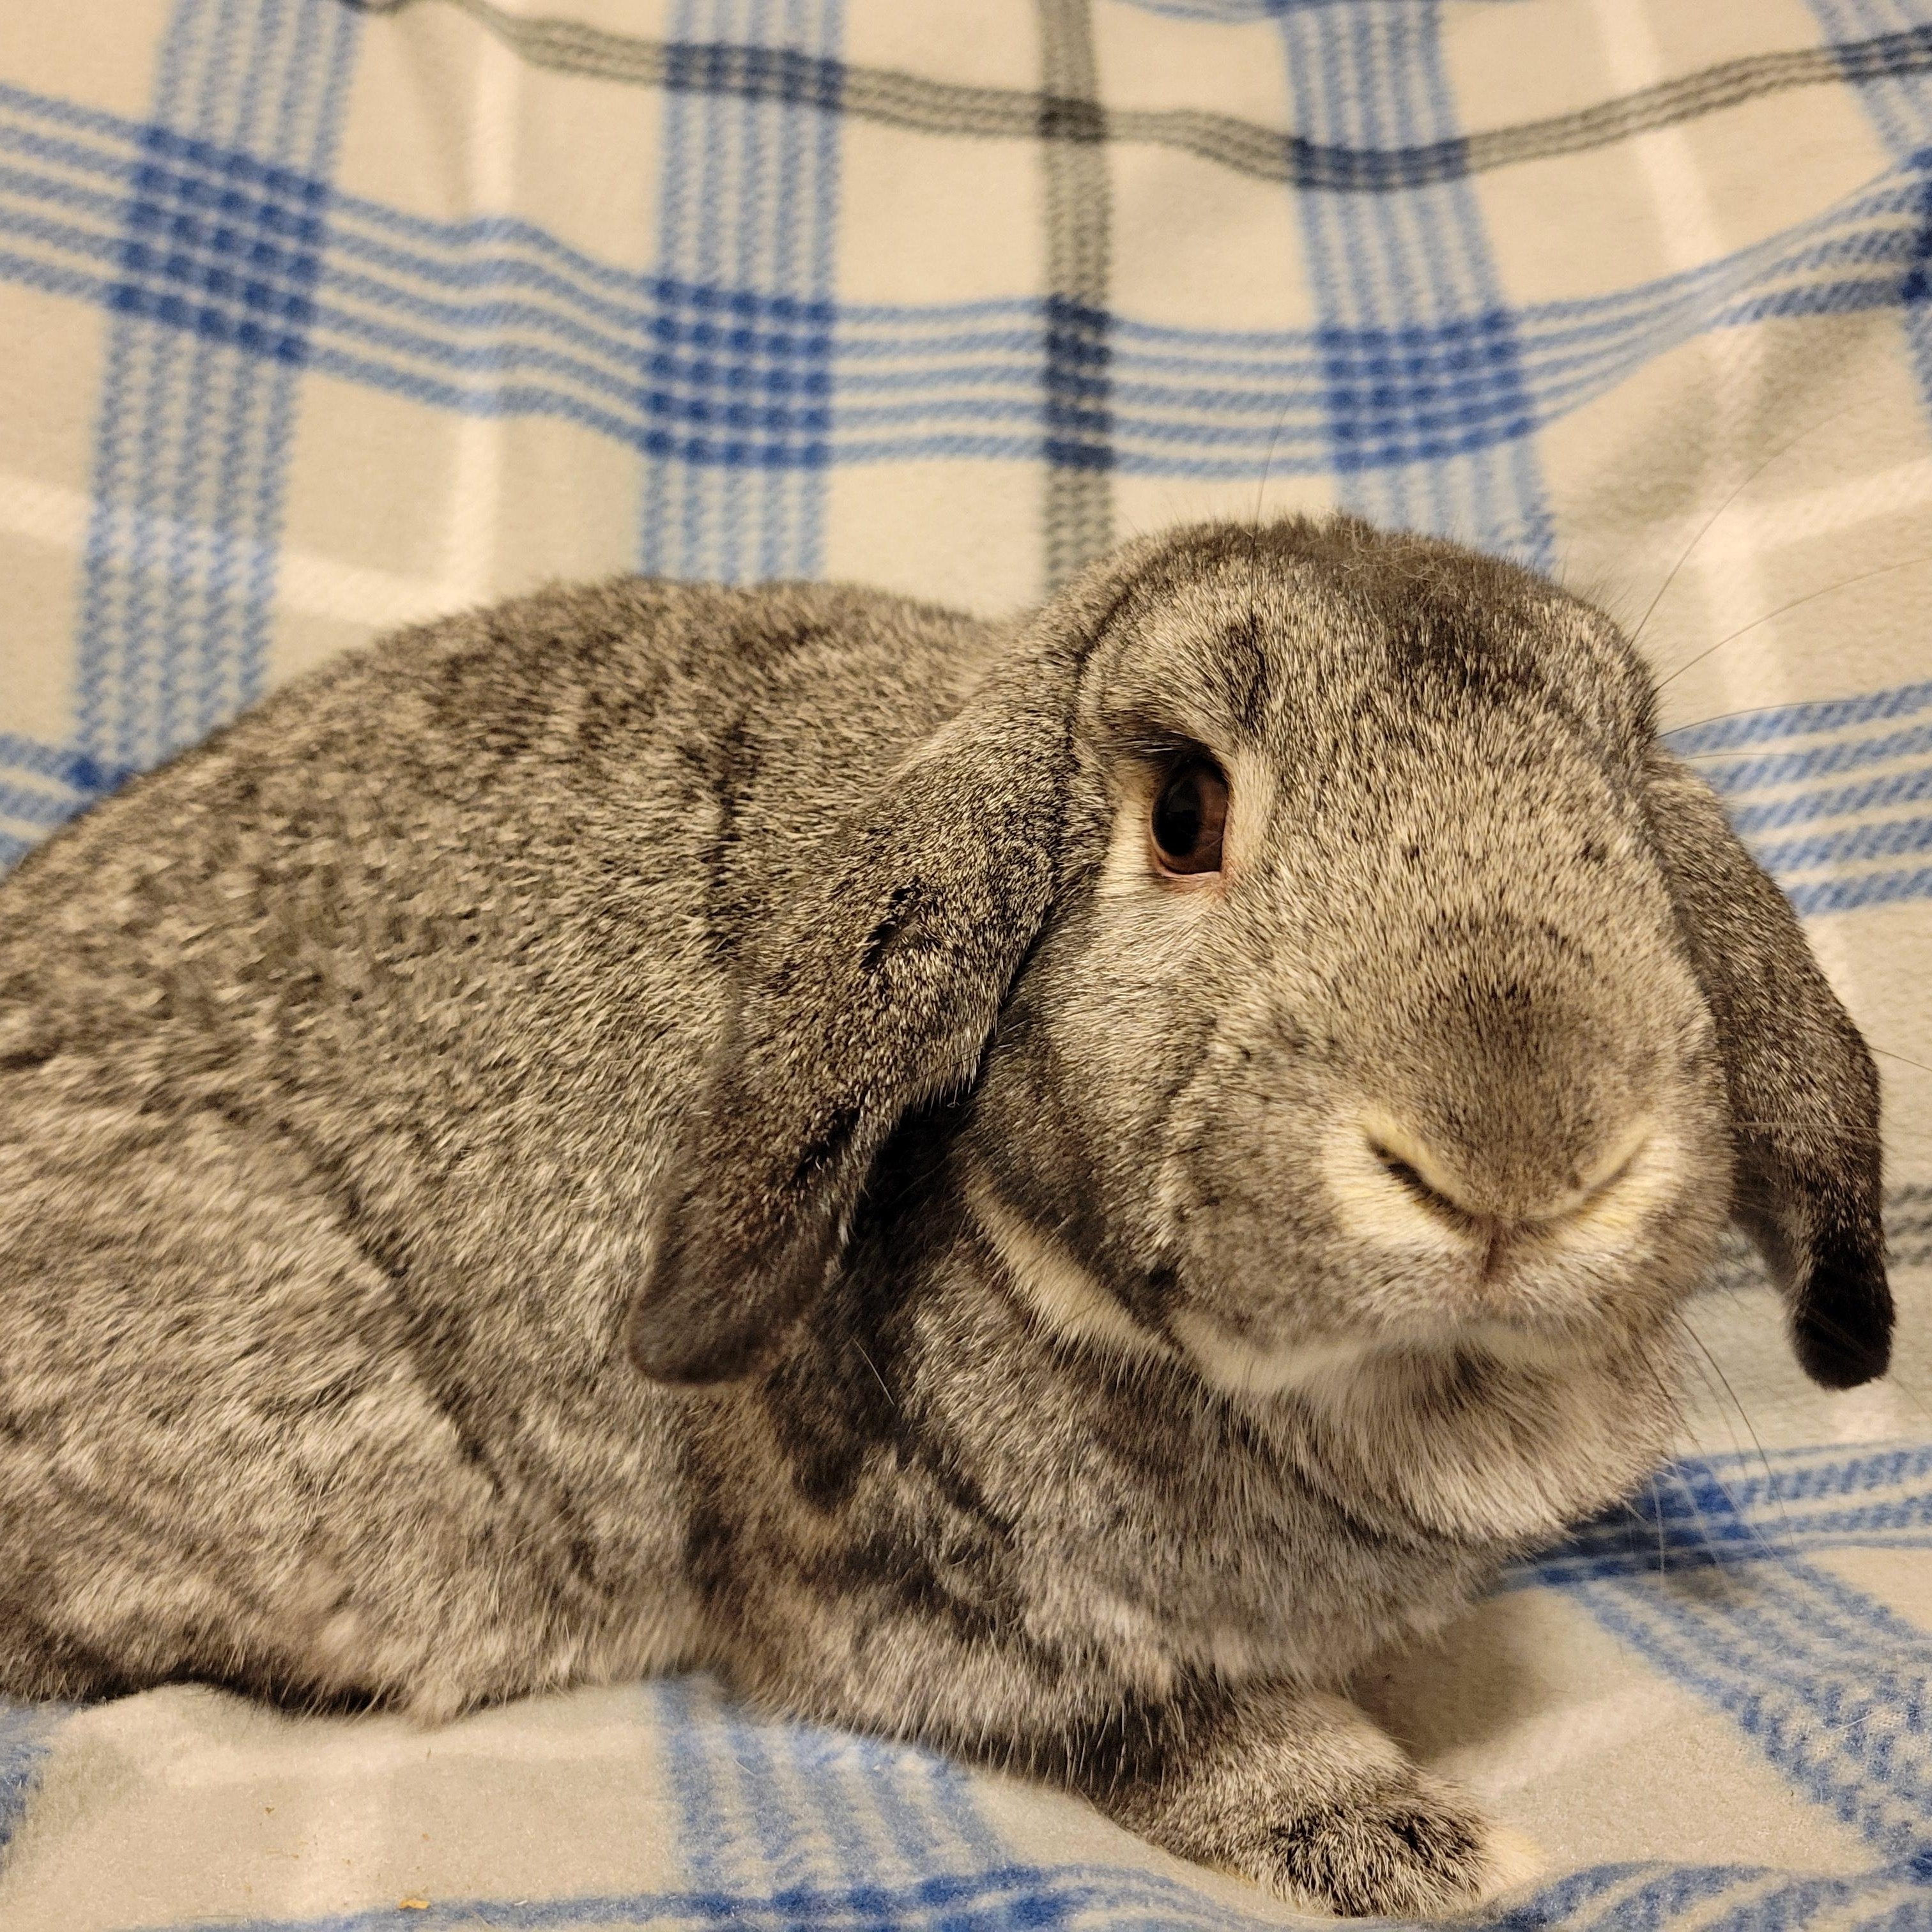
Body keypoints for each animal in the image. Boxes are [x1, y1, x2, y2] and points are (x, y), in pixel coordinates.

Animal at [0, 515, 1891, 1918]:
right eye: (1184, 813)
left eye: (1625, 823)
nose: (1517, 1158)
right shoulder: (928, 1615)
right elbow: (1205, 1730)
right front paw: (1443, 1853)